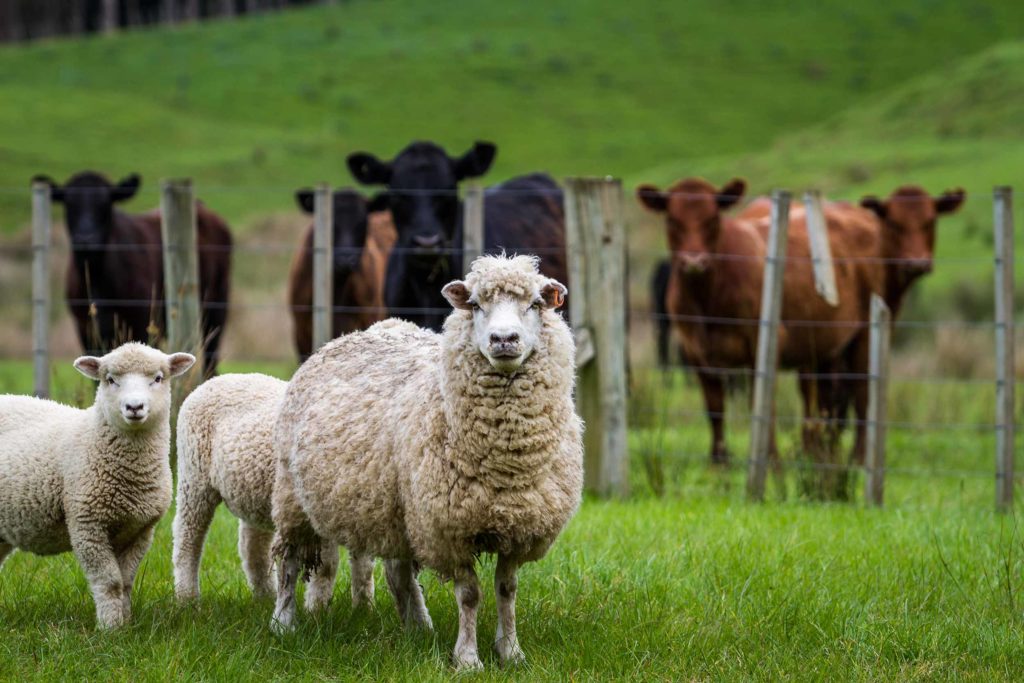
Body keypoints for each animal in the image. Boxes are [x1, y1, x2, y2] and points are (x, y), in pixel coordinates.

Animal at [0, 342, 194, 629]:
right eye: (110, 379)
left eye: (158, 378)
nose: (134, 407)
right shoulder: (87, 525)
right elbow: (110, 582)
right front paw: (110, 628)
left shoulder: (140, 530)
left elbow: (126, 582)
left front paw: (125, 624)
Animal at [172, 373, 373, 610]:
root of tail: (216, 380)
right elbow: (327, 566)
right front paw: (317, 609)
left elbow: (364, 567)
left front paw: (364, 609)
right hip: (194, 478)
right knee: (187, 538)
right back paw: (187, 599)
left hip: (254, 492)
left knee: (252, 549)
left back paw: (265, 598)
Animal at [271, 254, 583, 670]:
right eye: (475, 305)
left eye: (535, 304)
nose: (504, 340)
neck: (505, 464)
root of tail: (354, 334)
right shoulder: (448, 529)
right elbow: (469, 595)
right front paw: (468, 659)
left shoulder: (517, 527)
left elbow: (507, 590)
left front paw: (511, 652)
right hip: (293, 496)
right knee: (289, 561)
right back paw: (282, 622)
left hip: (397, 507)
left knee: (399, 571)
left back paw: (418, 626)